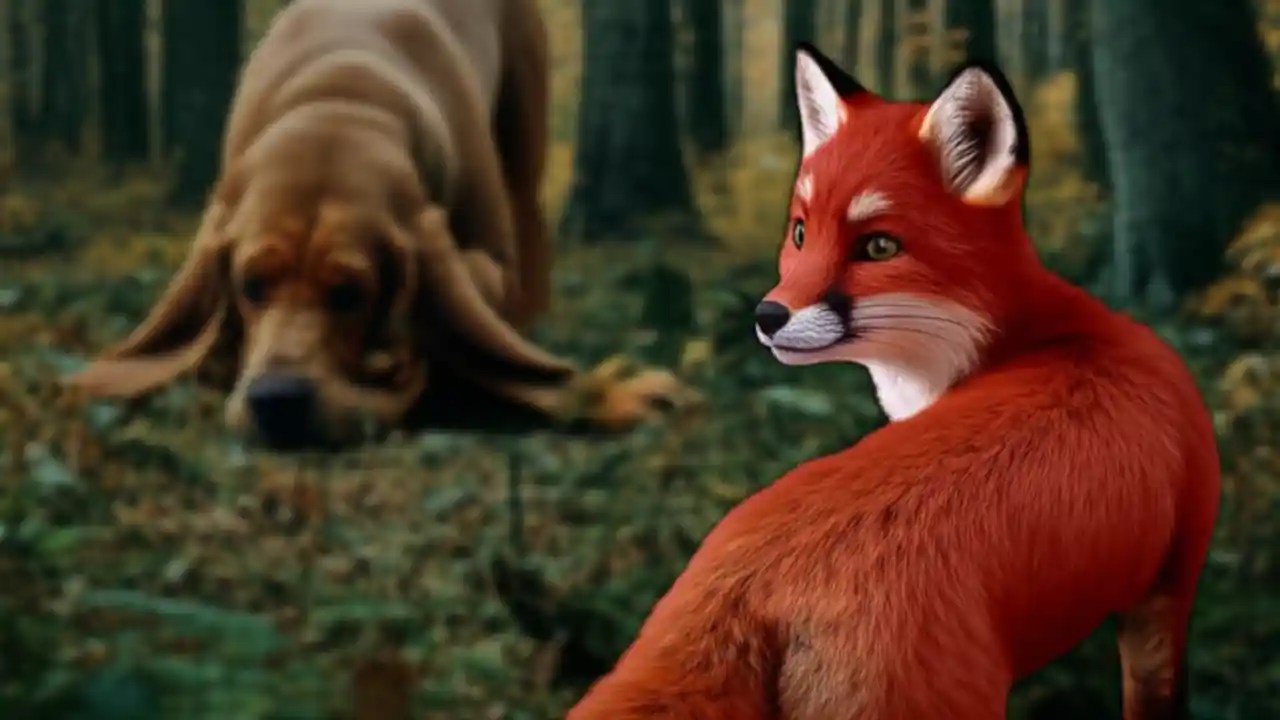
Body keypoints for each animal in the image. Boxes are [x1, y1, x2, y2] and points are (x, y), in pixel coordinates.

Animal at [566, 44, 1221, 720]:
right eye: (800, 232)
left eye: (879, 247)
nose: (768, 316)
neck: (1036, 333)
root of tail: (752, 577)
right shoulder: (1170, 582)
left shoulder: (1169, 583)